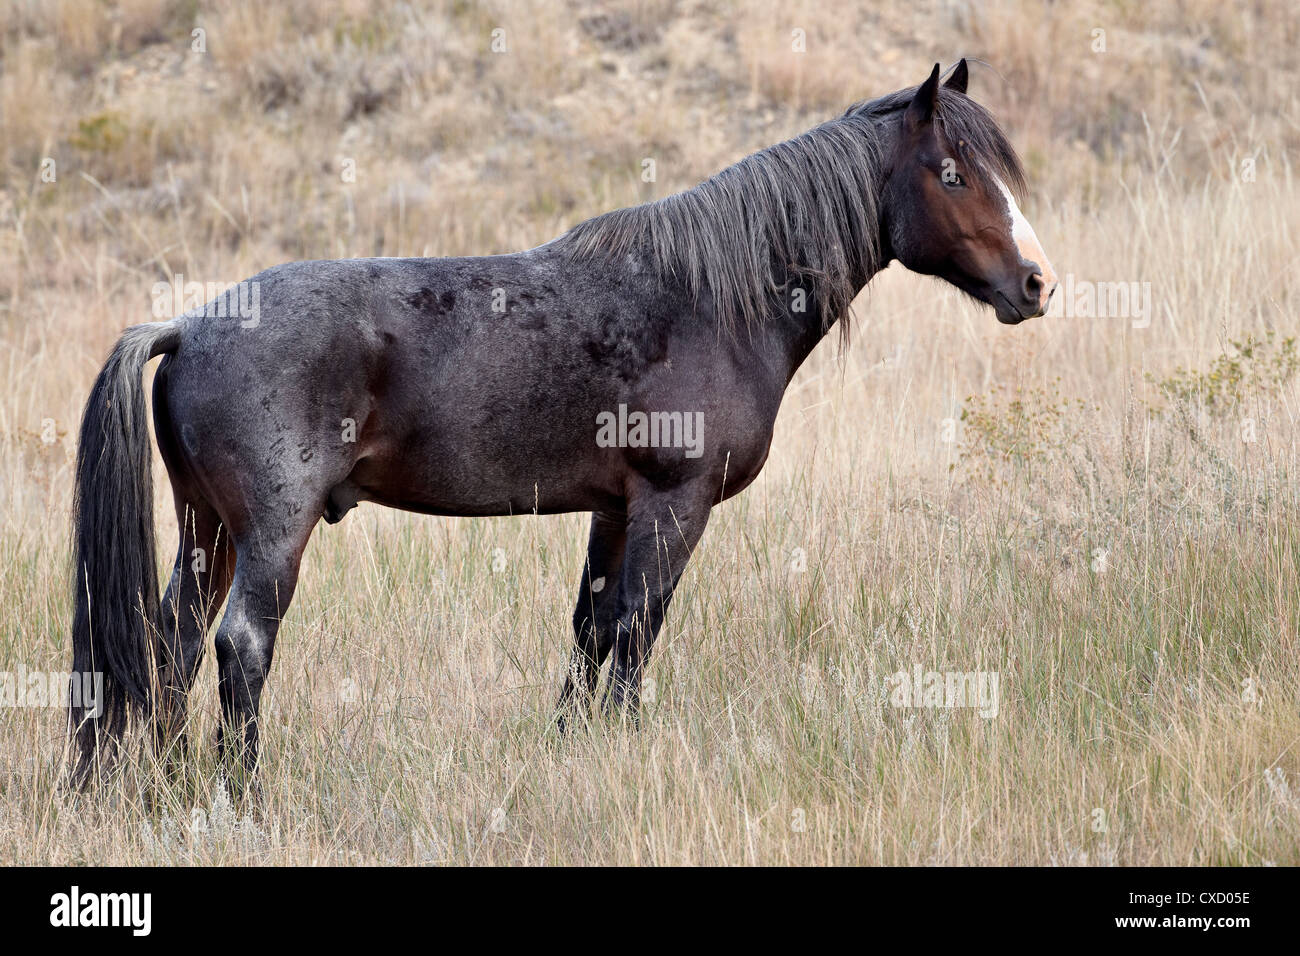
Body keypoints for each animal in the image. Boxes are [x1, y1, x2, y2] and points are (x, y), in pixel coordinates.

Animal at [67, 61, 1056, 787]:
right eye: (954, 174)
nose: (1039, 283)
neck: (704, 301)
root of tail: (191, 324)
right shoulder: (672, 506)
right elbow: (634, 634)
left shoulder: (614, 510)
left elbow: (590, 634)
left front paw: (573, 753)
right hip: (272, 531)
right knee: (240, 646)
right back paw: (241, 791)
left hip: (206, 528)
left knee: (168, 646)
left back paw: (165, 784)